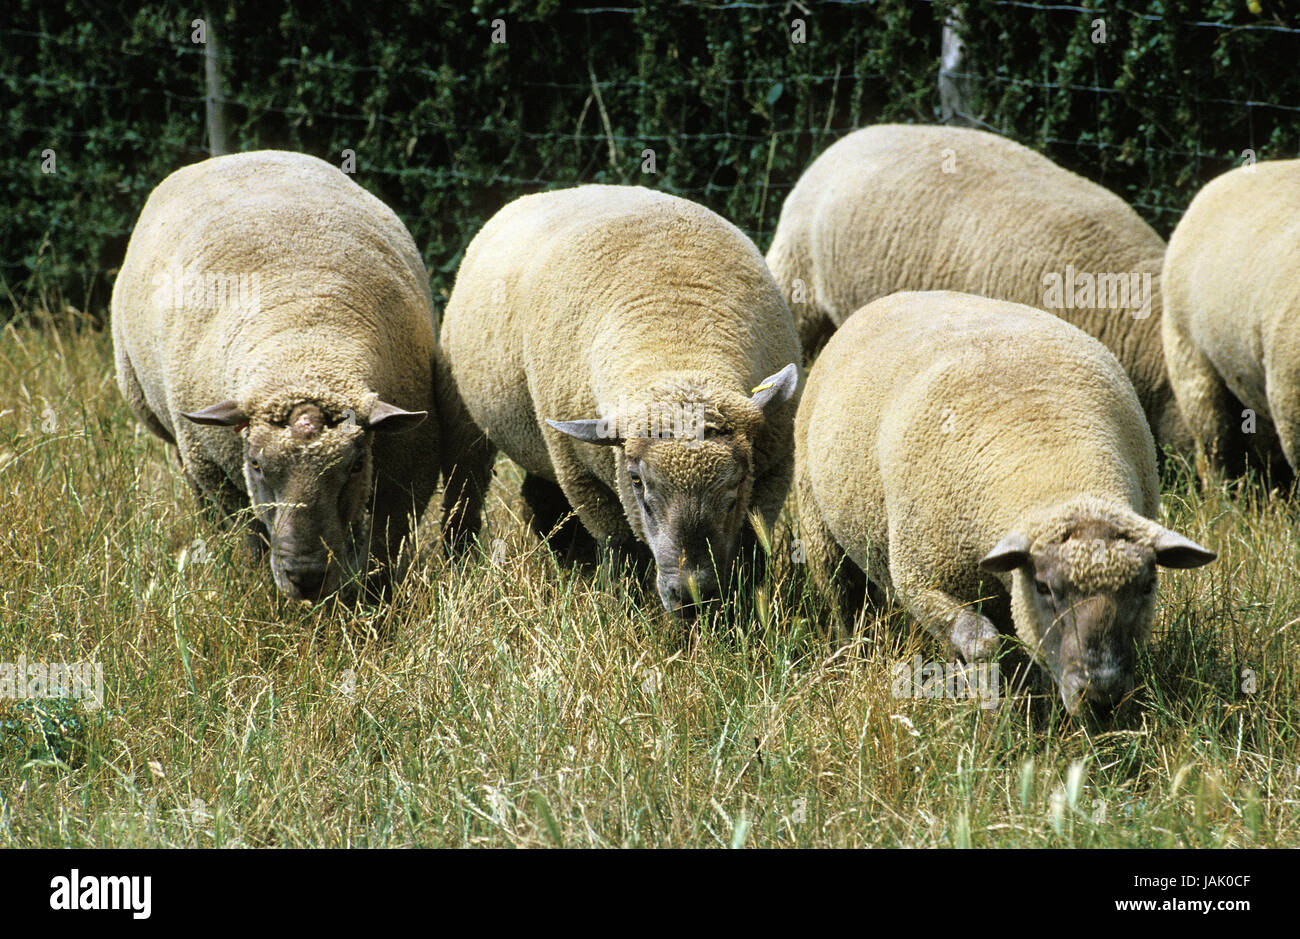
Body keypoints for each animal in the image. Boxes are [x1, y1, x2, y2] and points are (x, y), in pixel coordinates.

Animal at [111, 150, 439, 600]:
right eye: (256, 464)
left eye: (357, 465)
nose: (306, 576)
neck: (305, 340)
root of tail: (239, 155)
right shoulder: (215, 470)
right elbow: (247, 537)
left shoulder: (409, 471)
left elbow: (385, 543)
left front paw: (371, 594)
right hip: (176, 437)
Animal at [436, 184, 801, 615]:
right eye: (636, 480)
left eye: (739, 477)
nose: (691, 596)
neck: (677, 340)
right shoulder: (580, 474)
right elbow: (620, 548)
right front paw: (623, 606)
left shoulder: (774, 471)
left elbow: (752, 545)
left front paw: (744, 608)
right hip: (464, 416)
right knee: (466, 490)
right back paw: (462, 559)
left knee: (538, 498)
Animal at [794, 291, 1215, 712]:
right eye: (1044, 587)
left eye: (1147, 586)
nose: (1101, 695)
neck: (1059, 474)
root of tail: (897, 296)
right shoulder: (921, 582)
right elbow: (982, 643)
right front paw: (989, 704)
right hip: (818, 528)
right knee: (847, 604)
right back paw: (853, 657)